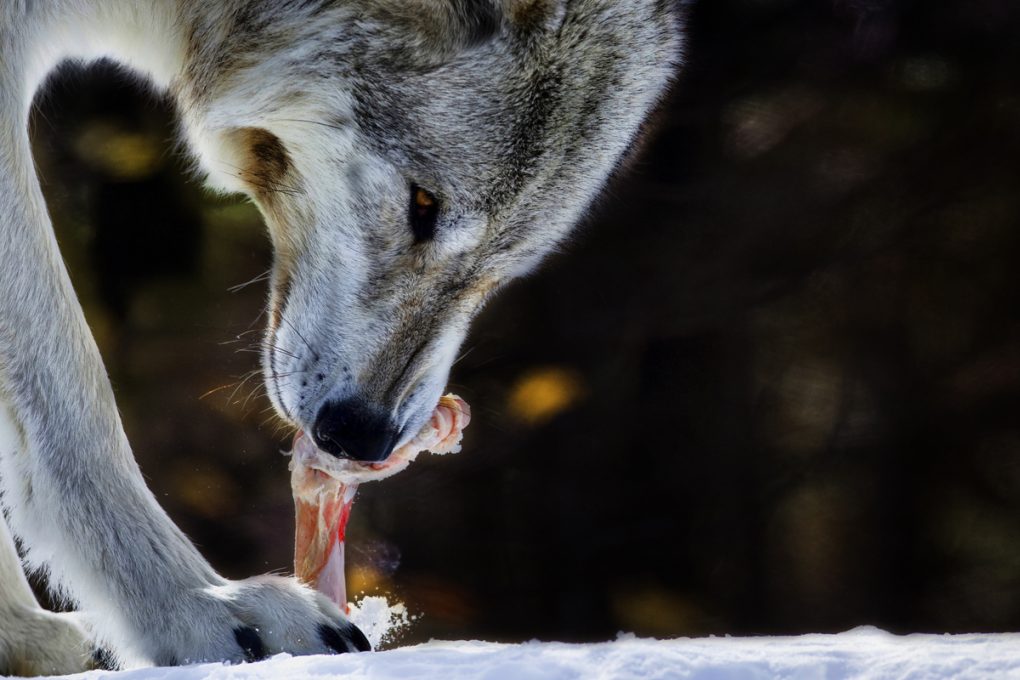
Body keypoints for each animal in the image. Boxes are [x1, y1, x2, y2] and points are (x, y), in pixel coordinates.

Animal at [0, 0, 682, 673]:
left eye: (504, 266)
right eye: (423, 205)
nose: (361, 436)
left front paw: (25, 638)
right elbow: (75, 397)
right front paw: (198, 604)